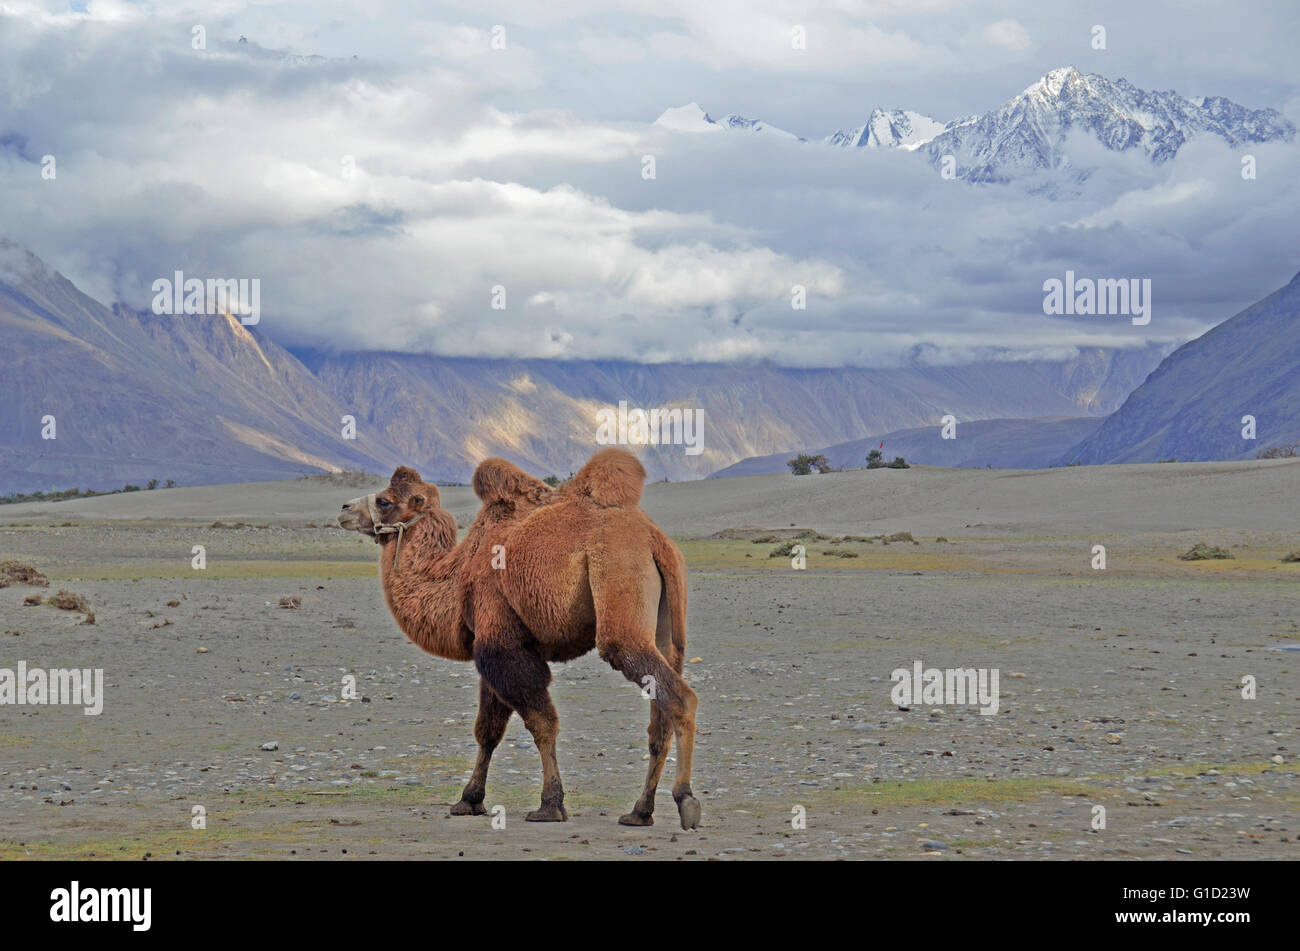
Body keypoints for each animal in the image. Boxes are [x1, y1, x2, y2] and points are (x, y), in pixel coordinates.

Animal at [337, 448, 701, 830]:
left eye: (384, 500)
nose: (344, 509)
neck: (458, 575)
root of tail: (654, 541)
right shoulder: (488, 645)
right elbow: (488, 730)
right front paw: (469, 799)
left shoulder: (501, 641)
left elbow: (541, 722)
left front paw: (549, 805)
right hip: (667, 628)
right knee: (659, 716)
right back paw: (639, 810)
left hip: (617, 589)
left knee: (676, 695)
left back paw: (686, 801)